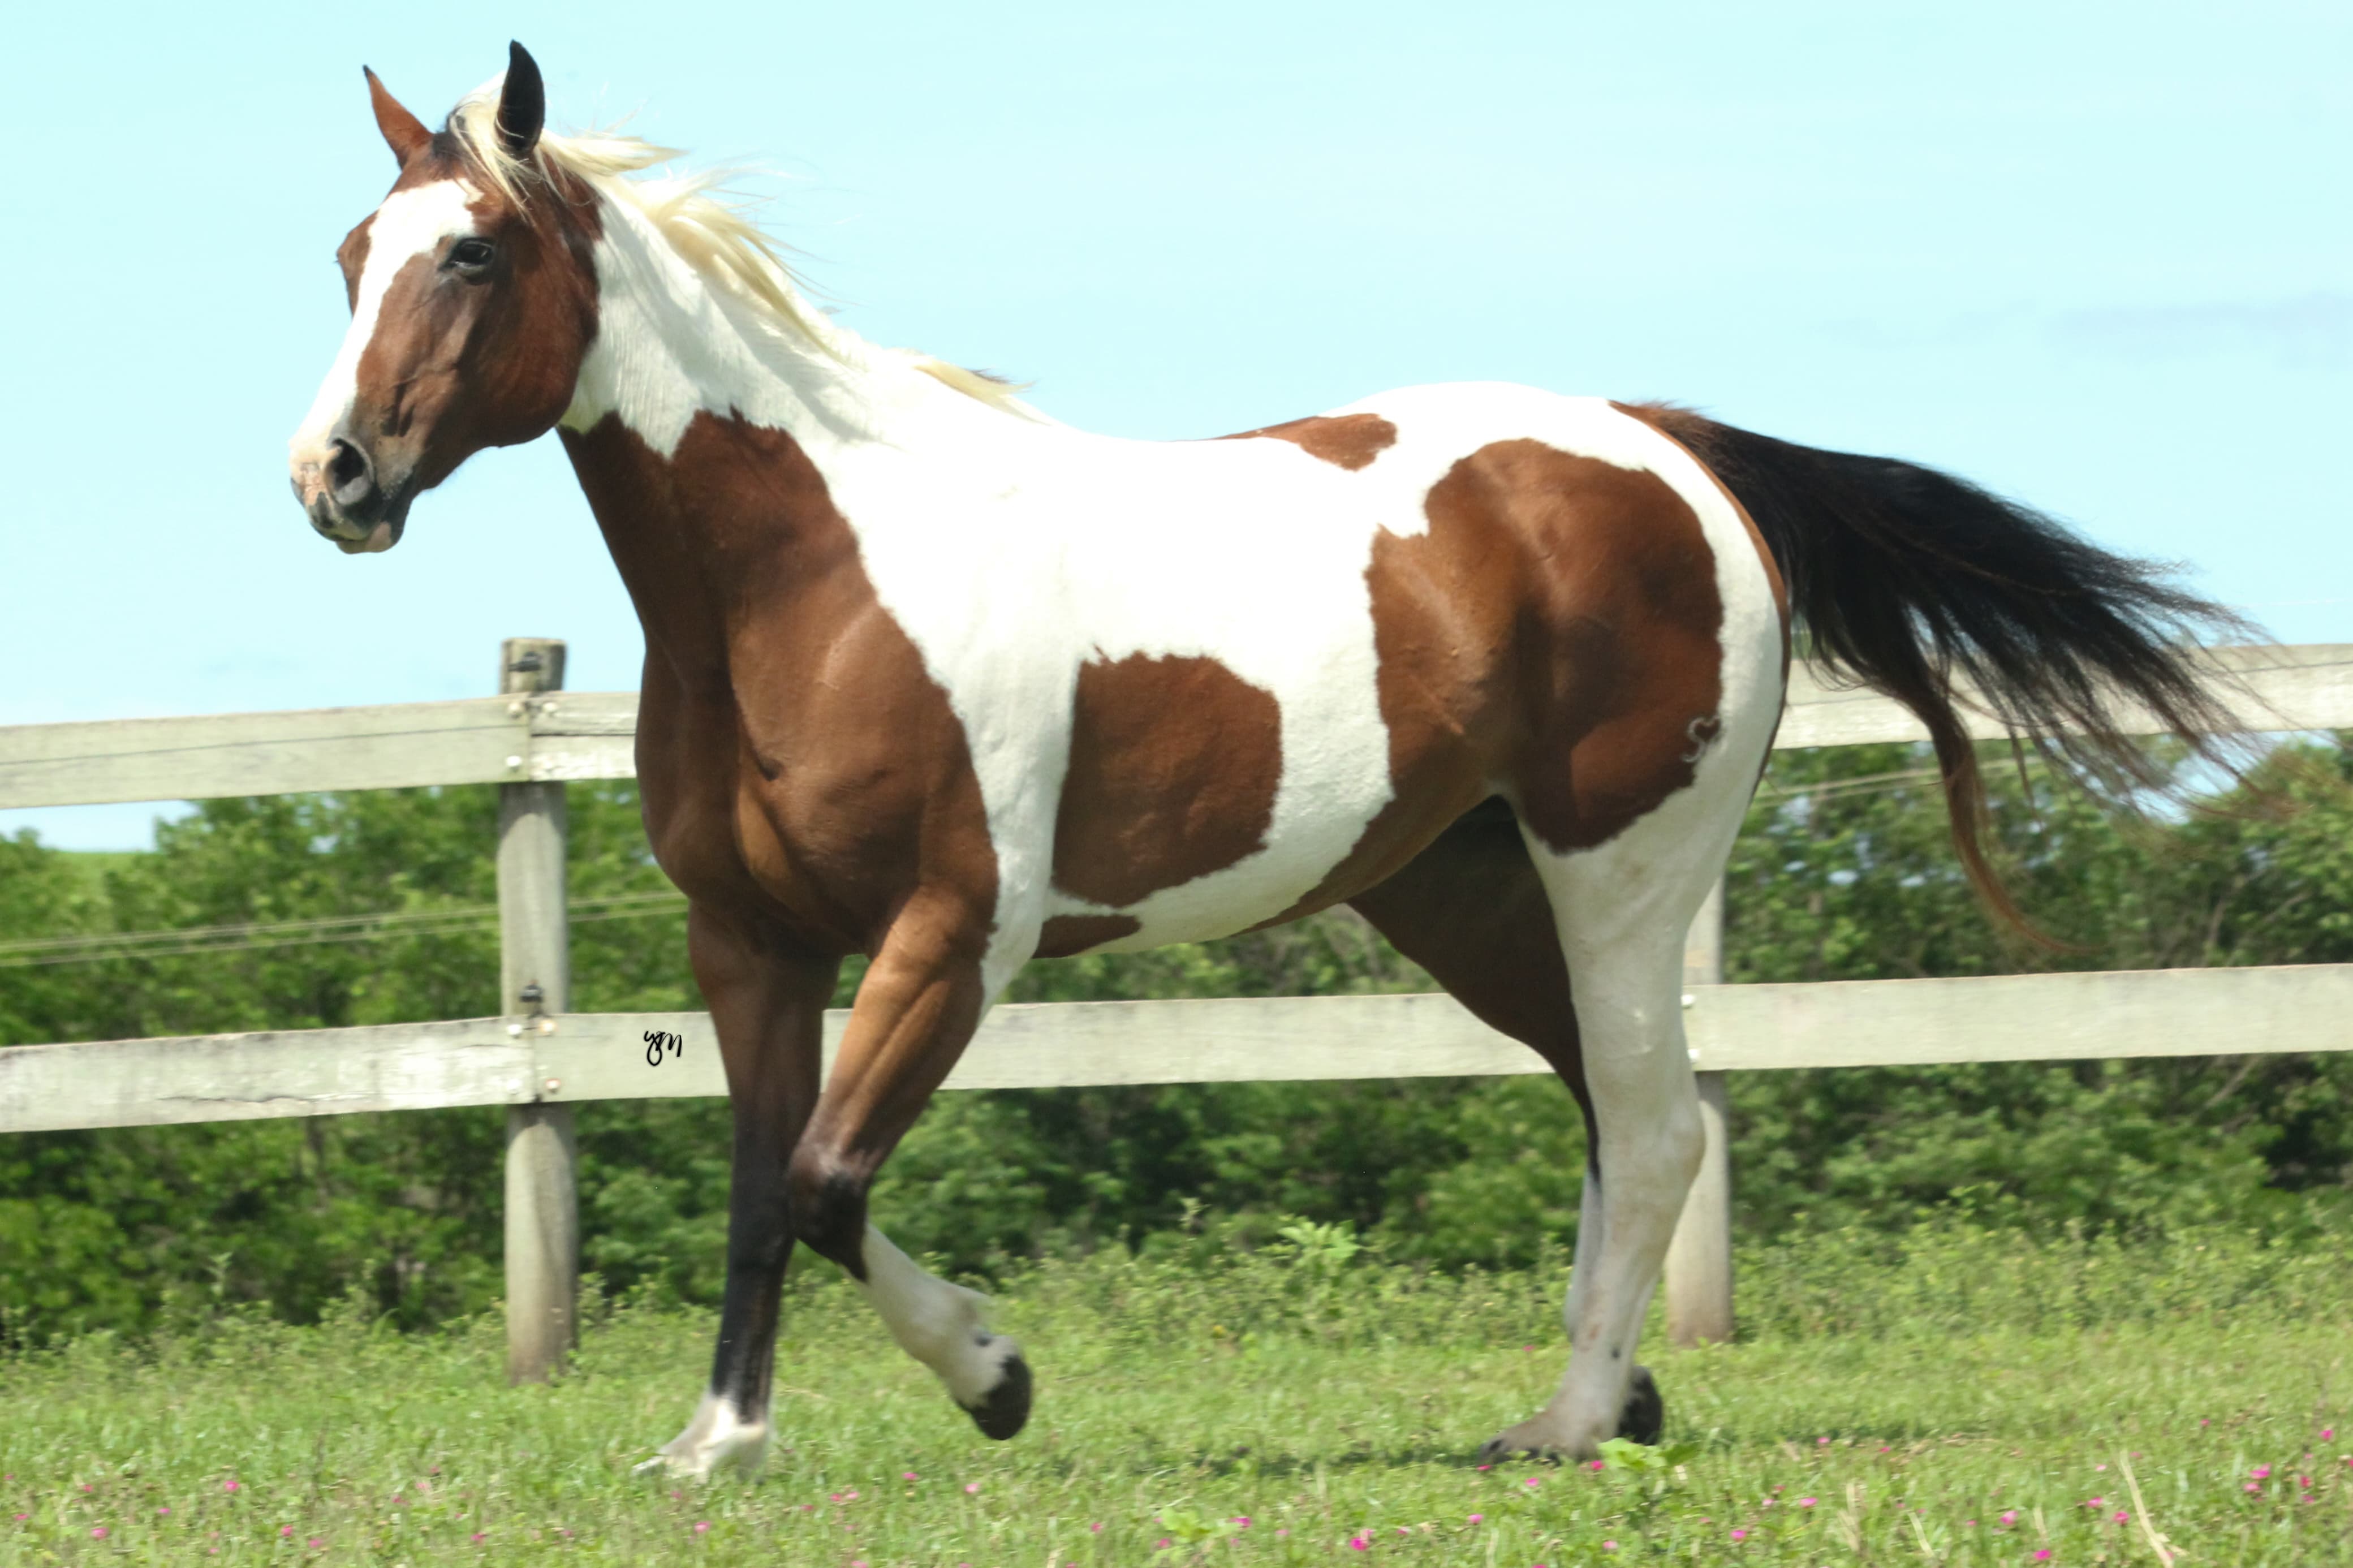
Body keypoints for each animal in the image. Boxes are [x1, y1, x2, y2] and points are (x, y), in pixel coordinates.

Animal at [288, 44, 2249, 1477]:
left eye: (473, 252)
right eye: (350, 259)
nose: (335, 478)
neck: (818, 573)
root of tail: (1668, 446)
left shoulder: (958, 929)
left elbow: (837, 1181)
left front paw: (996, 1376)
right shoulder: (749, 942)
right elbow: (771, 1193)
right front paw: (719, 1446)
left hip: (1620, 862)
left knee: (1653, 1120)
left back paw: (1560, 1426)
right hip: (1465, 892)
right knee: (1615, 1112)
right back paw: (1614, 1395)